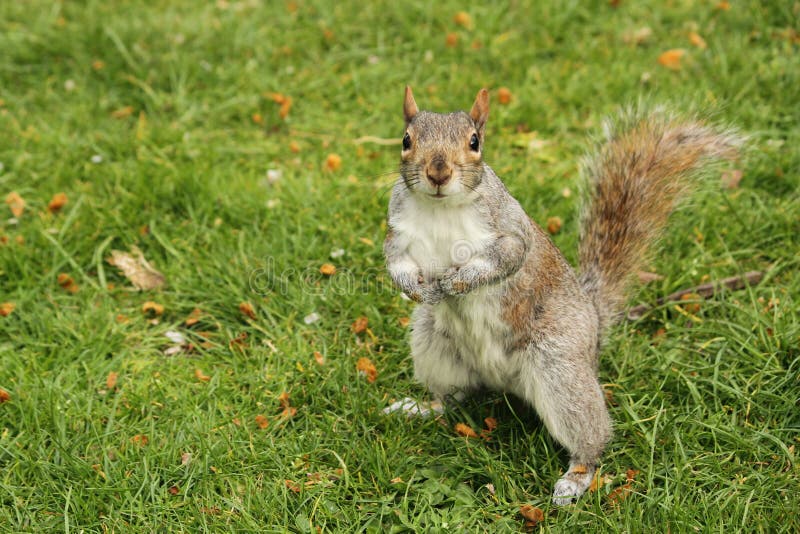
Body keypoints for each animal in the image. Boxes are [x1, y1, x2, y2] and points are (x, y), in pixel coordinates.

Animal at [383, 86, 740, 505]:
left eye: (474, 143)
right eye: (406, 140)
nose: (438, 173)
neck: (441, 208)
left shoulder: (511, 230)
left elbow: (506, 258)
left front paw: (459, 281)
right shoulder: (397, 232)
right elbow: (395, 263)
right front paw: (416, 287)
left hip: (560, 365)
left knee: (591, 436)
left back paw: (577, 477)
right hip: (434, 344)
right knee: (453, 397)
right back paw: (421, 407)